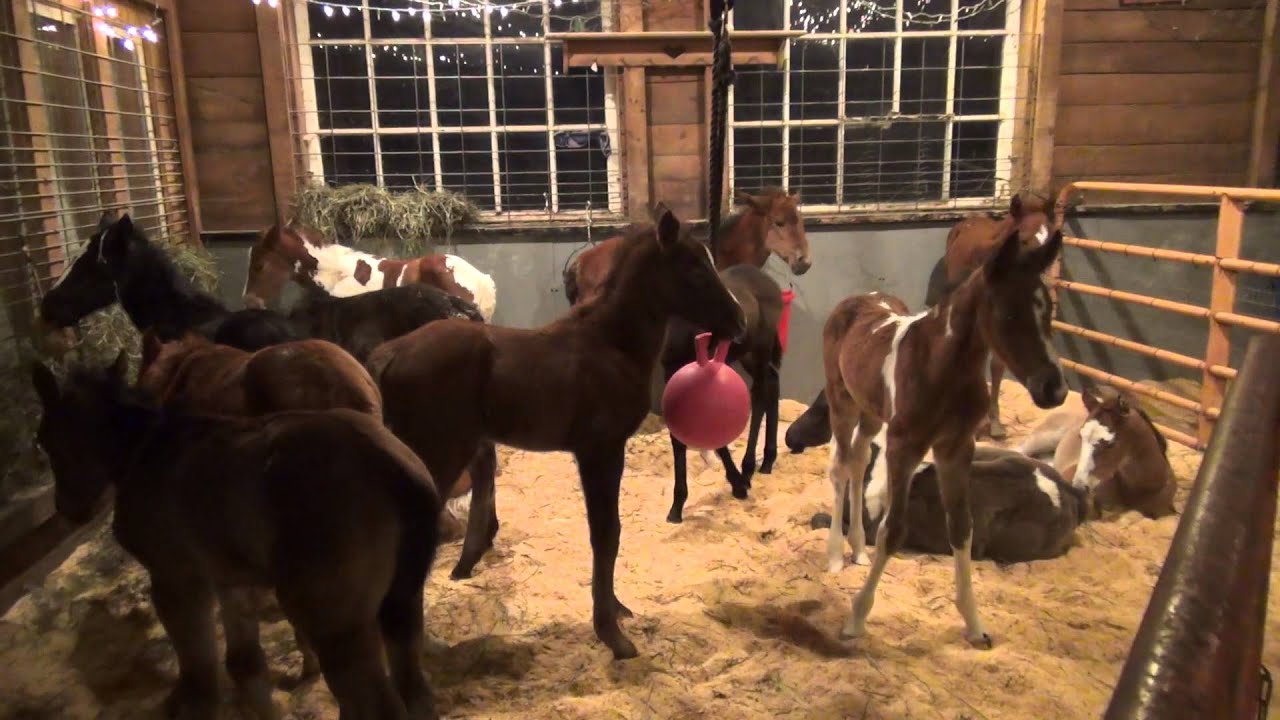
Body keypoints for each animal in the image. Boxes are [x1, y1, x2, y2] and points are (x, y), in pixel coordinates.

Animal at [32, 353, 443, 720]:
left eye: (45, 438)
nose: (70, 509)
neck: (142, 450)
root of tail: (397, 471)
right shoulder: (232, 580)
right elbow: (247, 667)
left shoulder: (176, 580)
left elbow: (200, 679)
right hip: (401, 600)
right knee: (415, 694)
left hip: (335, 622)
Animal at [366, 204, 747, 660]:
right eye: (695, 269)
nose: (740, 320)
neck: (610, 344)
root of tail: (390, 353)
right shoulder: (600, 450)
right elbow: (606, 533)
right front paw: (612, 635)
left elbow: (609, 531)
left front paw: (616, 610)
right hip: (439, 453)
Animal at [663, 264, 783, 523]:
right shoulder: (672, 374)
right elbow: (678, 436)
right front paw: (676, 507)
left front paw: (738, 485)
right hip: (748, 354)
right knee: (772, 381)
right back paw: (767, 461)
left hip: (761, 347)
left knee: (760, 392)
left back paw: (749, 468)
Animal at [822, 224, 1066, 648]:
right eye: (1008, 311)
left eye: (1049, 309)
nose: (1054, 389)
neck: (941, 365)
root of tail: (858, 298)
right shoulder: (904, 447)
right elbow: (893, 529)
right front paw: (856, 619)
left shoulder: (955, 448)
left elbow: (962, 526)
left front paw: (974, 624)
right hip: (843, 403)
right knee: (839, 468)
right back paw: (837, 555)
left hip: (870, 413)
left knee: (856, 460)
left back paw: (858, 549)